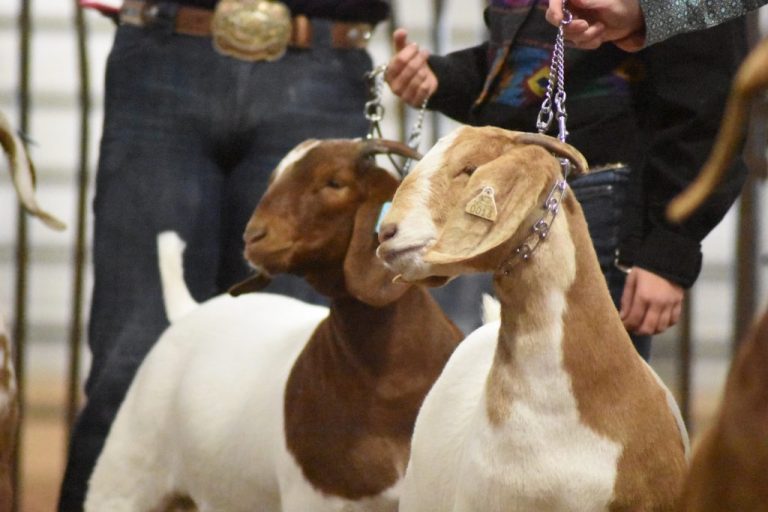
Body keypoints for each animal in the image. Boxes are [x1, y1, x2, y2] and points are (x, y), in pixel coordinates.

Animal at [85, 138, 464, 512]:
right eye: (273, 180)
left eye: (334, 182)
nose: (254, 237)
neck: (391, 385)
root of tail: (188, 312)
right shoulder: (314, 499)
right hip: (125, 472)